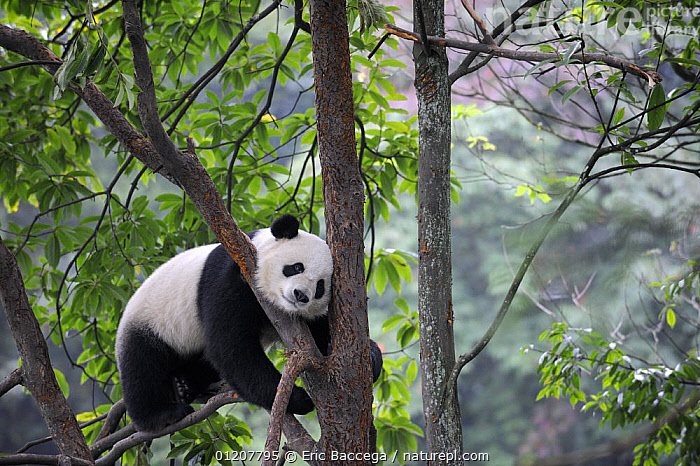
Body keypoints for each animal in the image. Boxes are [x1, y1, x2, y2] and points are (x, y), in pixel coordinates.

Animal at [116, 214, 381, 432]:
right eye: (296, 267)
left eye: (320, 287)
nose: (300, 295)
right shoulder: (231, 277)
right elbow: (231, 346)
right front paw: (297, 398)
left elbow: (320, 333)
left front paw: (371, 357)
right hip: (151, 321)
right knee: (143, 365)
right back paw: (162, 415)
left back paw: (185, 385)